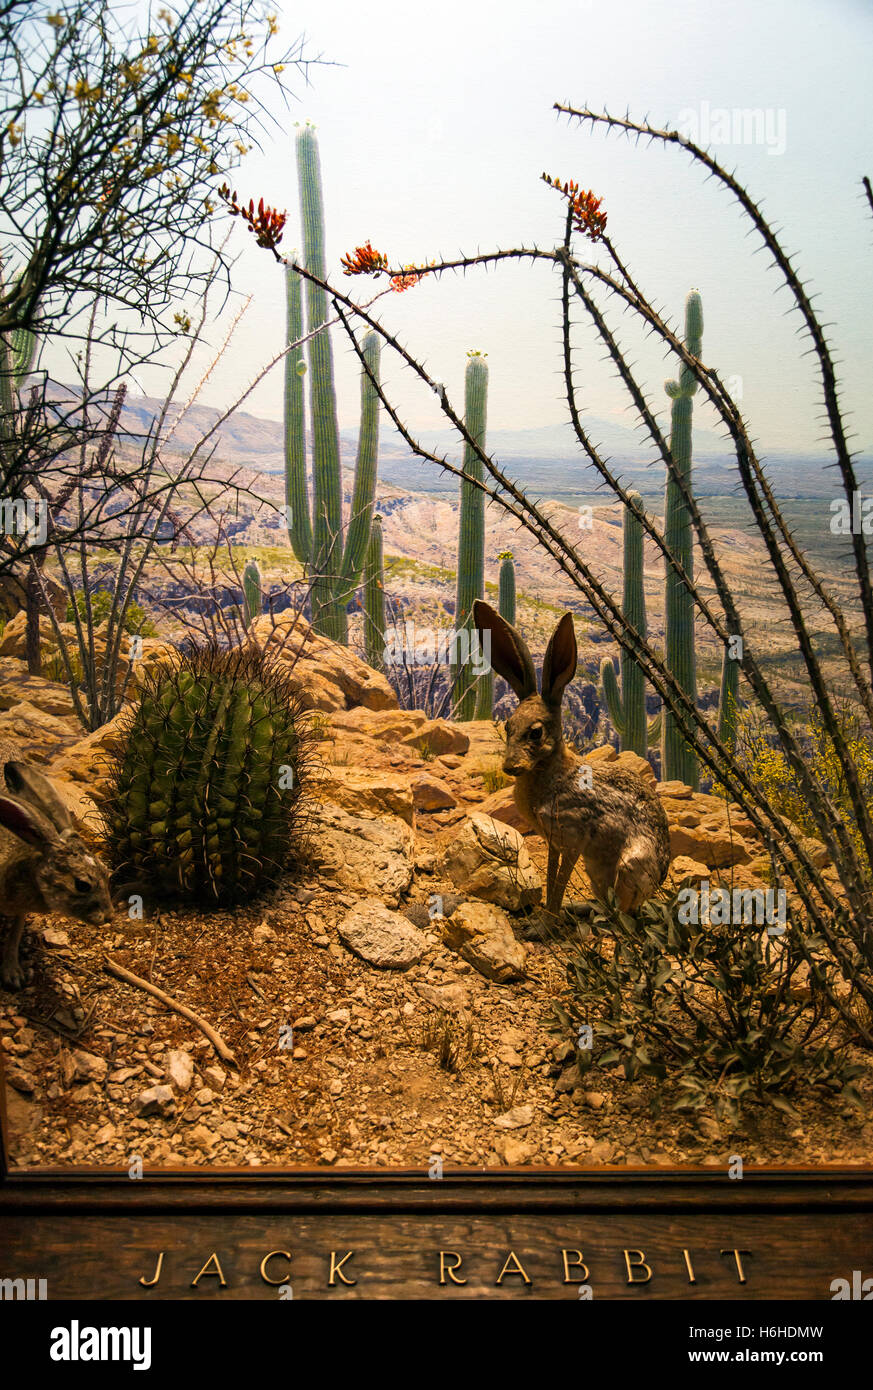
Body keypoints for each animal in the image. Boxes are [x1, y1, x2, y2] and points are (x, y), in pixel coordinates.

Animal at [0, 739, 112, 989]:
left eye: (106, 872)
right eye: (82, 885)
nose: (109, 917)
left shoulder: (20, 911)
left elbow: (15, 934)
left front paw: (12, 972)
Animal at [473, 601, 671, 916]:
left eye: (536, 732)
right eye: (508, 726)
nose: (510, 766)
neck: (551, 771)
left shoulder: (573, 838)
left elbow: (560, 880)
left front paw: (549, 919)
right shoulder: (554, 843)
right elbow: (551, 875)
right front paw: (546, 915)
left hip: (627, 869)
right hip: (598, 873)